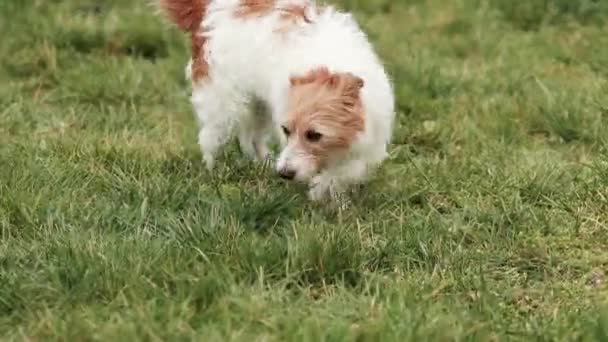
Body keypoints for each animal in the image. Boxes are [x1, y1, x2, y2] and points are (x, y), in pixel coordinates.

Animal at [159, 0, 394, 202]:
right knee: (210, 139)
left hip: (259, 107)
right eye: (286, 130)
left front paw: (326, 189)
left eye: (315, 135)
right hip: (223, 104)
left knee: (251, 139)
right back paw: (212, 171)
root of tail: (209, 8)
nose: (284, 173)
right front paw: (319, 191)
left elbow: (351, 169)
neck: (328, 66)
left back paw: (264, 163)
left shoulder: (370, 143)